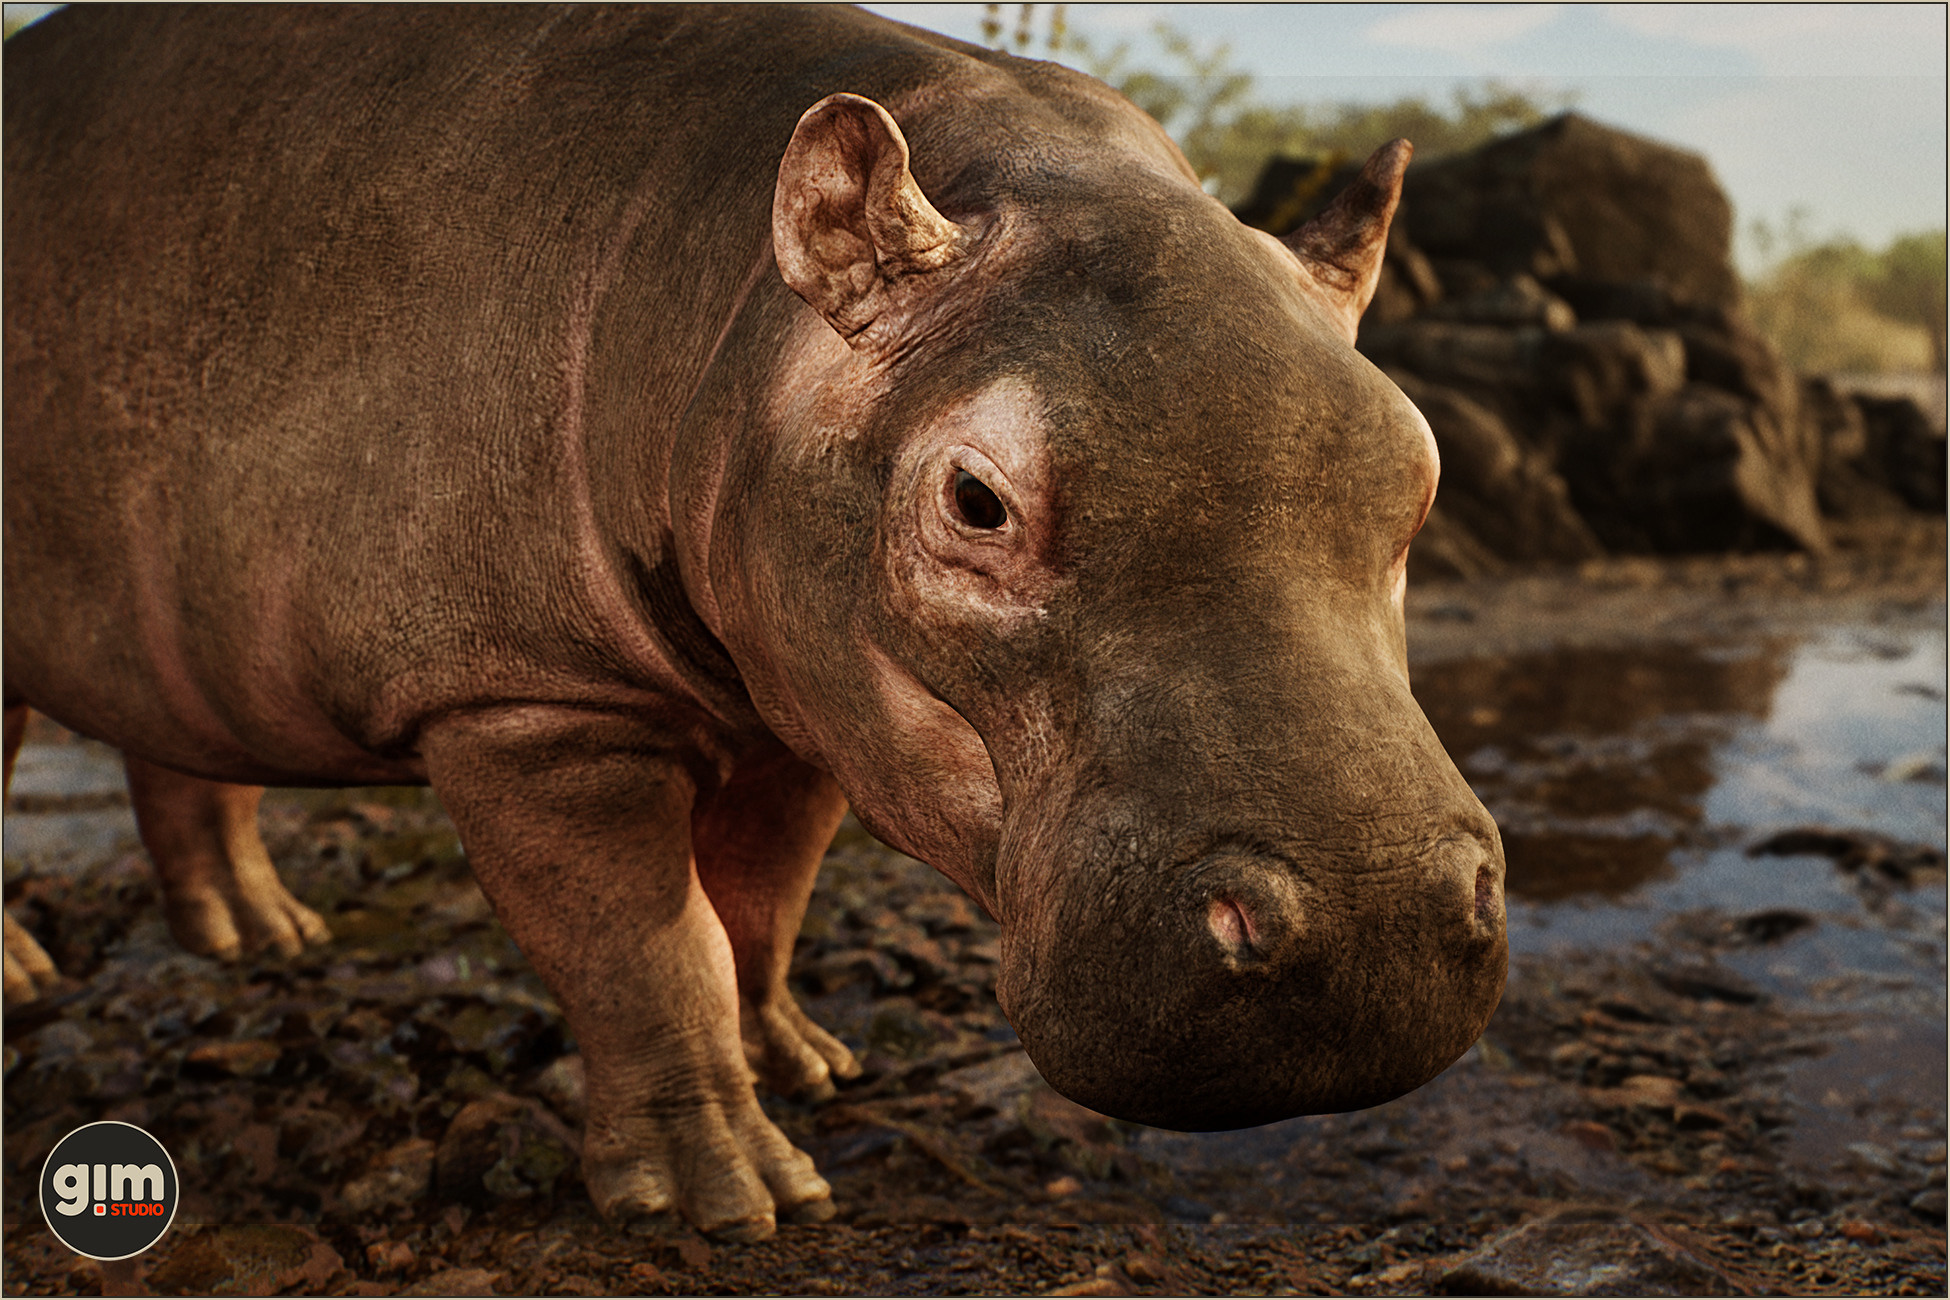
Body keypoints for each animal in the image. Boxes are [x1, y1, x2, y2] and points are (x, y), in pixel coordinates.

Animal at [3, 5, 1506, 1237]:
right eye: (975, 499)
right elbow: (643, 948)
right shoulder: (533, 701)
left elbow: (759, 907)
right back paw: (30, 980)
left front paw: (811, 1067)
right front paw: (732, 1202)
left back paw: (266, 941)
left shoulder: (804, 699)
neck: (744, 311)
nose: (1370, 927)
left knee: (178, 742)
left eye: (1420, 466)